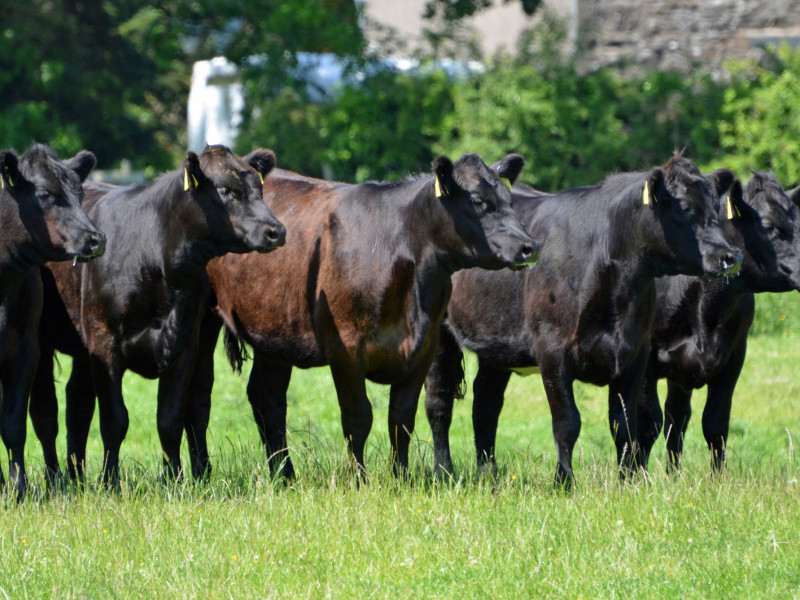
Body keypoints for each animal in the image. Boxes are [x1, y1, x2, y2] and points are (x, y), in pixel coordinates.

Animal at [0, 145, 105, 496]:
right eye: (45, 194)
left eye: (79, 193)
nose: (95, 238)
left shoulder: (26, 350)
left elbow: (13, 424)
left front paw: (18, 488)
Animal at [29, 145, 286, 488]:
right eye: (225, 190)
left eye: (259, 187)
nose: (276, 231)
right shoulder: (105, 340)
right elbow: (114, 419)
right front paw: (110, 482)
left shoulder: (185, 345)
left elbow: (169, 418)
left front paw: (173, 480)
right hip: (43, 341)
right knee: (45, 411)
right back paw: (57, 480)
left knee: (77, 404)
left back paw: (77, 477)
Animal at [182, 152, 540, 480]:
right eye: (477, 200)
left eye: (509, 199)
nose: (529, 246)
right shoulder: (346, 348)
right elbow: (358, 417)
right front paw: (360, 480)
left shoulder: (425, 347)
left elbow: (401, 418)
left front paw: (401, 478)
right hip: (203, 320)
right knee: (199, 393)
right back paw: (203, 473)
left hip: (274, 330)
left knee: (266, 397)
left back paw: (285, 477)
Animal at [424, 155, 744, 488]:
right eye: (683, 206)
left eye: (715, 207)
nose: (731, 256)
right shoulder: (552, 349)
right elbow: (568, 421)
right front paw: (563, 481)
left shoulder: (636, 353)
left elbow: (624, 424)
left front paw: (627, 481)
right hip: (440, 334)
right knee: (439, 403)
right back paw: (443, 471)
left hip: (497, 344)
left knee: (485, 404)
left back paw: (490, 475)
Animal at [640, 171, 800, 472]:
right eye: (769, 226)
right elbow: (645, 424)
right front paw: (633, 476)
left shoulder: (734, 356)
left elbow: (715, 423)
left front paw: (718, 478)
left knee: (676, 419)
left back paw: (673, 475)